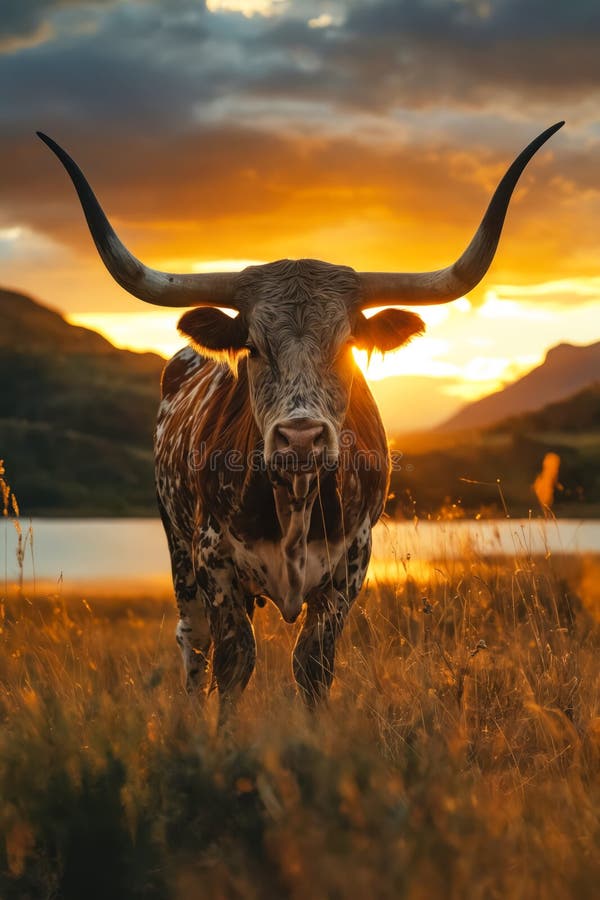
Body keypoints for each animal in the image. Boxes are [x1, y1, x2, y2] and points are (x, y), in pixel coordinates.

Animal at [39, 122, 563, 720]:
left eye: (347, 345)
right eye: (253, 346)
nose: (301, 438)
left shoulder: (349, 569)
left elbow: (312, 666)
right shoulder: (214, 563)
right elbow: (234, 663)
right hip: (178, 554)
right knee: (193, 645)